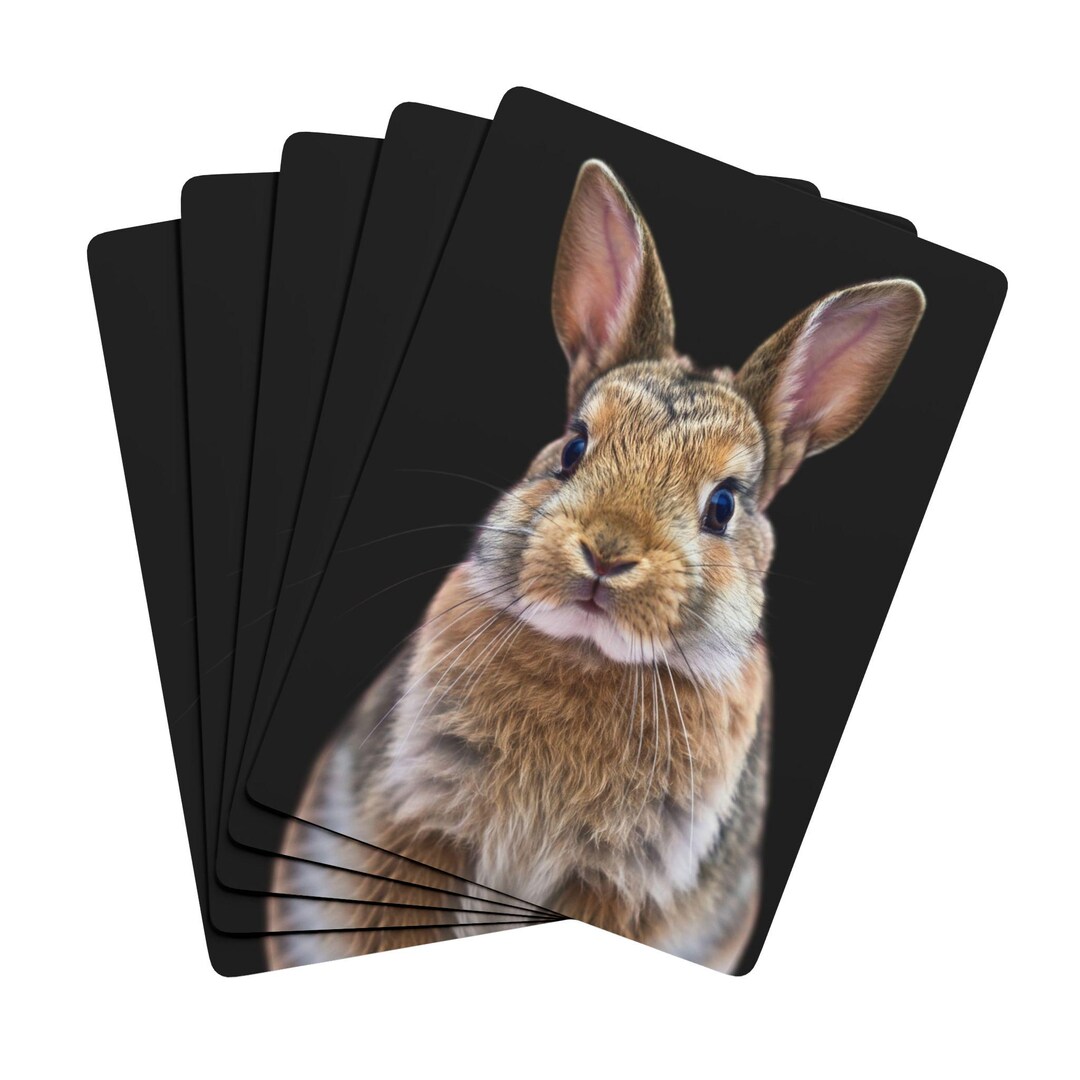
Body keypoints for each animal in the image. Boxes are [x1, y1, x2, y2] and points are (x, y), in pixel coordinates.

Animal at [267, 160, 925, 972]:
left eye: (722, 506)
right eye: (574, 446)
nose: (607, 553)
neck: (588, 654)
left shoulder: (618, 885)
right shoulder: (418, 827)